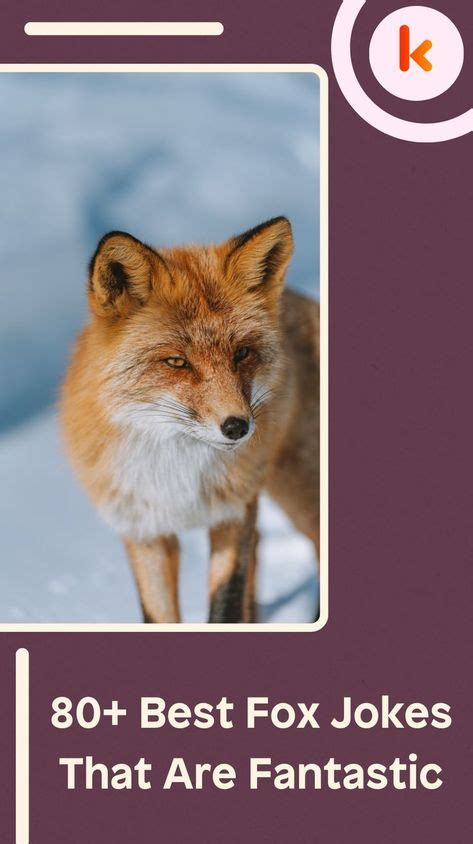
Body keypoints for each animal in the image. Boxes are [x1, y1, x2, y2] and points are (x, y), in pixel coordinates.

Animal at [60, 216, 319, 623]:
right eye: (177, 362)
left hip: (299, 491)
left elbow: (226, 607)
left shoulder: (232, 513)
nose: (237, 427)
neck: (177, 472)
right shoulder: (144, 529)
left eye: (242, 353)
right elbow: (158, 616)